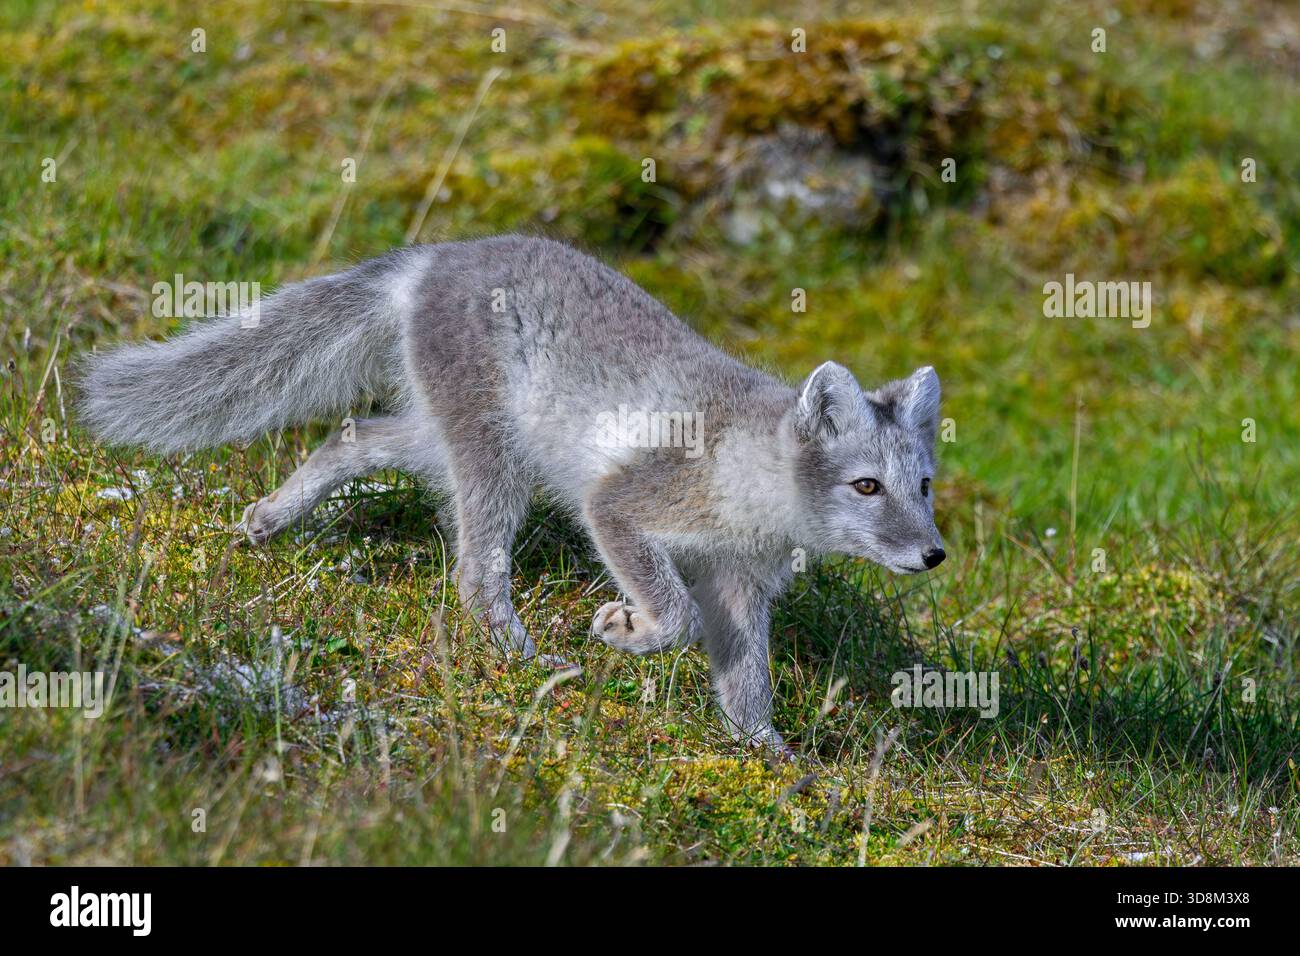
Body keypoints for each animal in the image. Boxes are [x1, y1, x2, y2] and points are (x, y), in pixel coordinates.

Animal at [77, 234, 946, 753]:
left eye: (924, 485)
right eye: (866, 486)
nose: (935, 554)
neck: (754, 488)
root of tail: (432, 256)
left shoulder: (740, 583)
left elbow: (745, 678)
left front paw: (767, 755)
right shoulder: (623, 504)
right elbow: (676, 617)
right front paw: (623, 629)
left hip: (445, 436)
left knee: (353, 434)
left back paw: (270, 518)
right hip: (492, 459)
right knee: (473, 565)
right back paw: (514, 649)